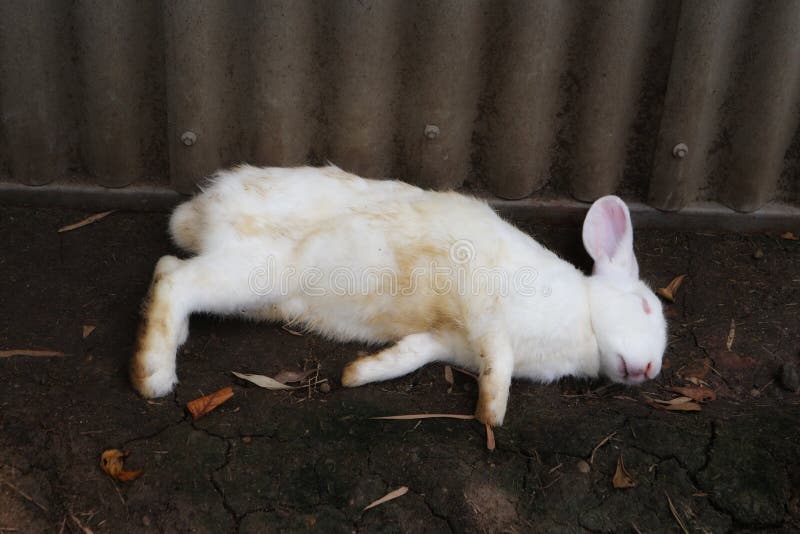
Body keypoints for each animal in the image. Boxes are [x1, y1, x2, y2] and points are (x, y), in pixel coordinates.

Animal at [131, 164, 667, 426]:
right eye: (644, 306)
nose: (648, 370)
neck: (583, 321)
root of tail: (205, 207)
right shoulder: (486, 306)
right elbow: (500, 361)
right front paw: (492, 414)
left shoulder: (446, 341)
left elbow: (410, 356)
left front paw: (358, 374)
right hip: (252, 273)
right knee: (175, 281)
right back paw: (153, 375)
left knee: (167, 269)